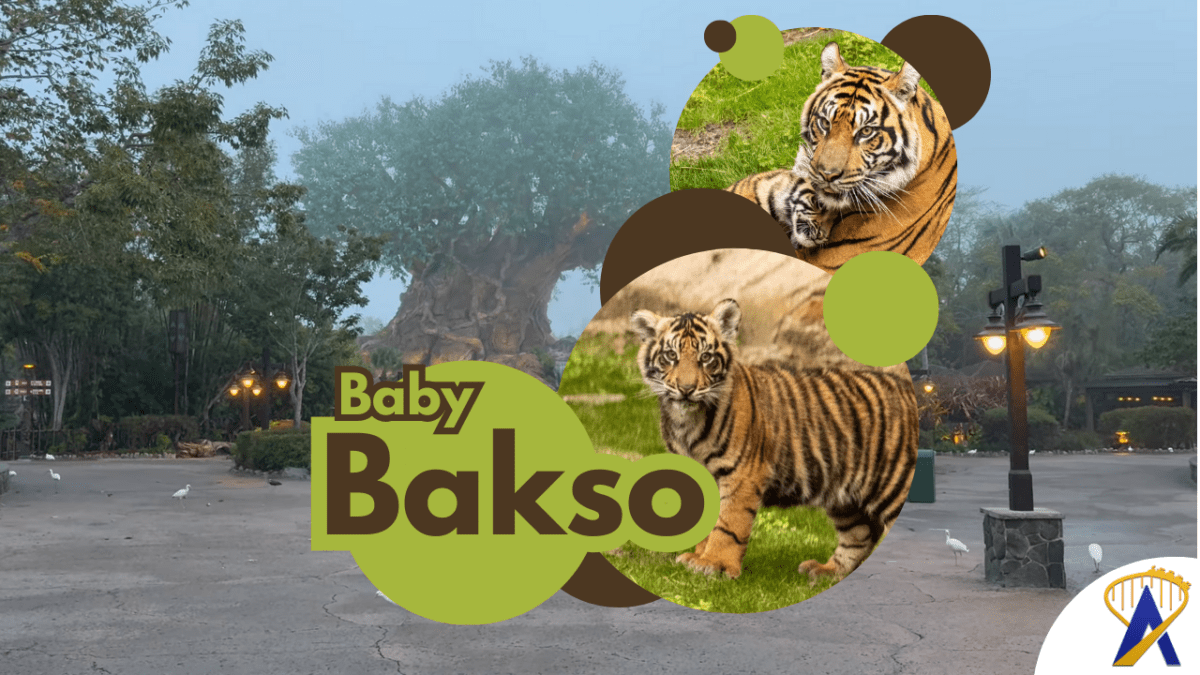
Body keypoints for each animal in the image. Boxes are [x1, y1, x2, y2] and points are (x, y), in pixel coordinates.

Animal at [630, 297, 918, 582]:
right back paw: (826, 572)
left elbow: (728, 524)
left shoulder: (742, 474)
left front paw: (715, 564)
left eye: (706, 357)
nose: (687, 389)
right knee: (860, 536)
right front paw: (697, 558)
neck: (686, 422)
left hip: (894, 487)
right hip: (846, 500)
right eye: (671, 356)